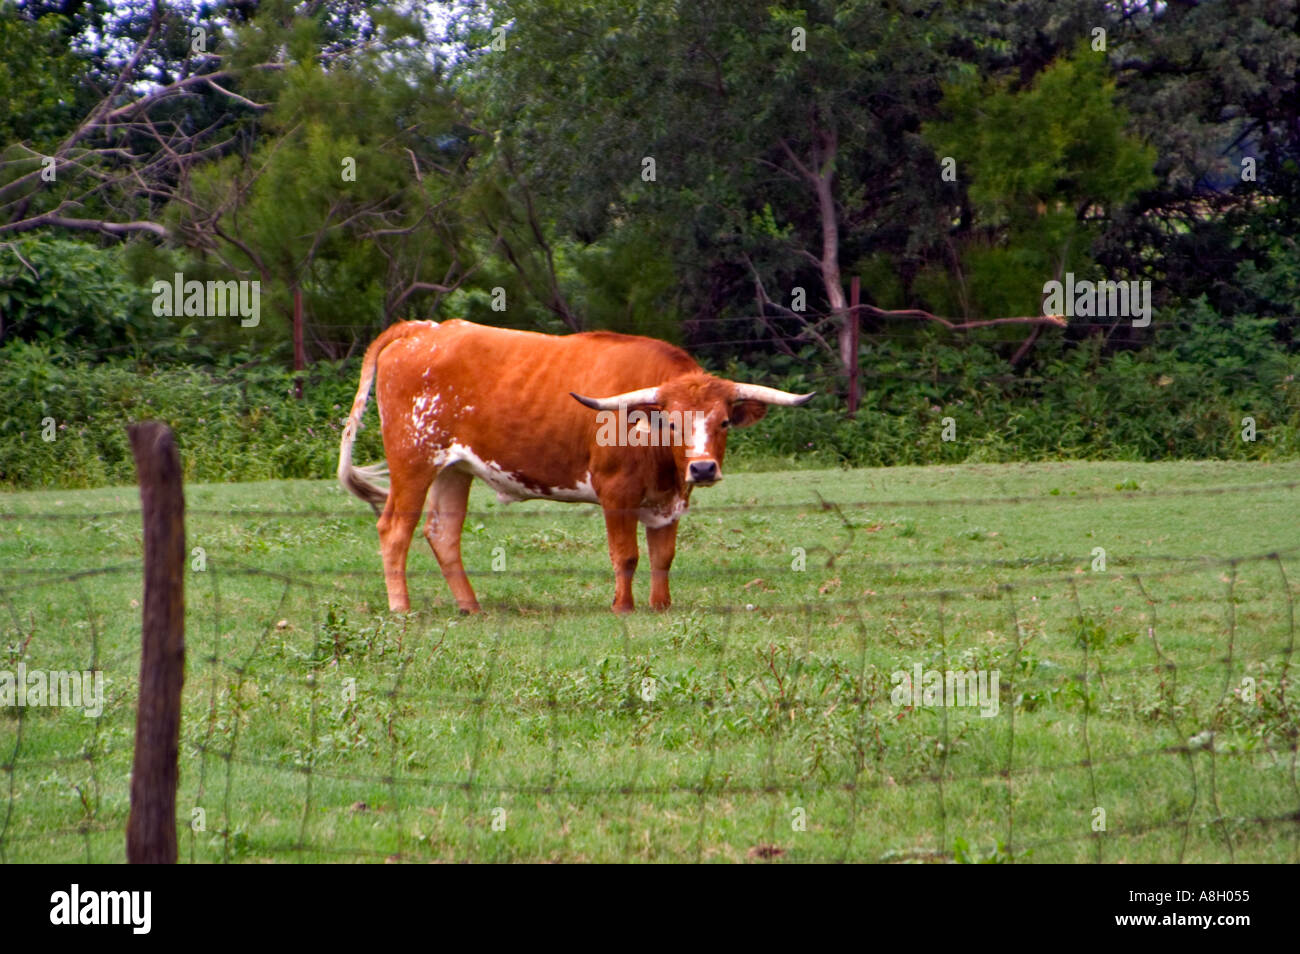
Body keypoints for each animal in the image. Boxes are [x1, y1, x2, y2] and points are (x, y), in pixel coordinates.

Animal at [337, 319, 813, 613]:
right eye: (673, 421)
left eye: (724, 421)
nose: (702, 470)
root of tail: (420, 328)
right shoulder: (616, 491)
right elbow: (626, 555)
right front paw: (623, 607)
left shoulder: (670, 500)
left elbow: (663, 555)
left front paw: (661, 606)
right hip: (413, 461)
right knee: (394, 530)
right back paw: (401, 608)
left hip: (454, 470)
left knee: (442, 533)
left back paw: (471, 607)